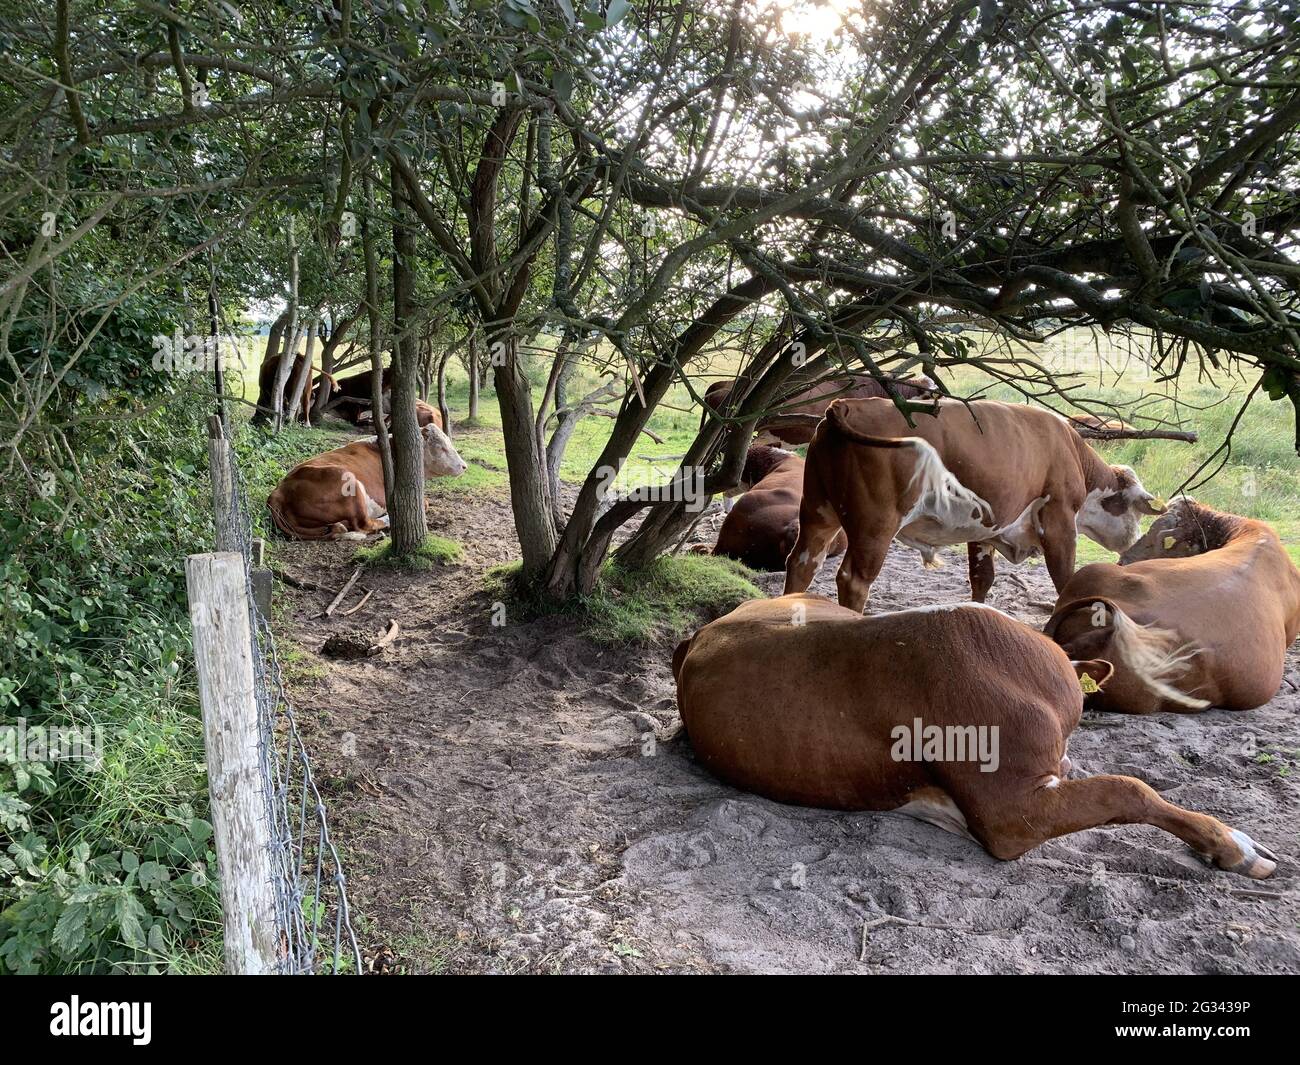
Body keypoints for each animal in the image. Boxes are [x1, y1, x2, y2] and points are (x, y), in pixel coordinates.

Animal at [267, 422, 467, 540]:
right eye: (441, 447)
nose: (464, 466)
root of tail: (279, 491)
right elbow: (425, 502)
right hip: (348, 482)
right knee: (364, 525)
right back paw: (388, 518)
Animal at [783, 398, 1165, 612]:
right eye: (1136, 511)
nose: (1134, 541)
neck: (1070, 449)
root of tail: (848, 404)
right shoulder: (1057, 518)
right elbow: (1064, 577)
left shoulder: (985, 527)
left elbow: (982, 578)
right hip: (874, 526)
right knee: (853, 579)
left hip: (818, 511)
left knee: (802, 562)